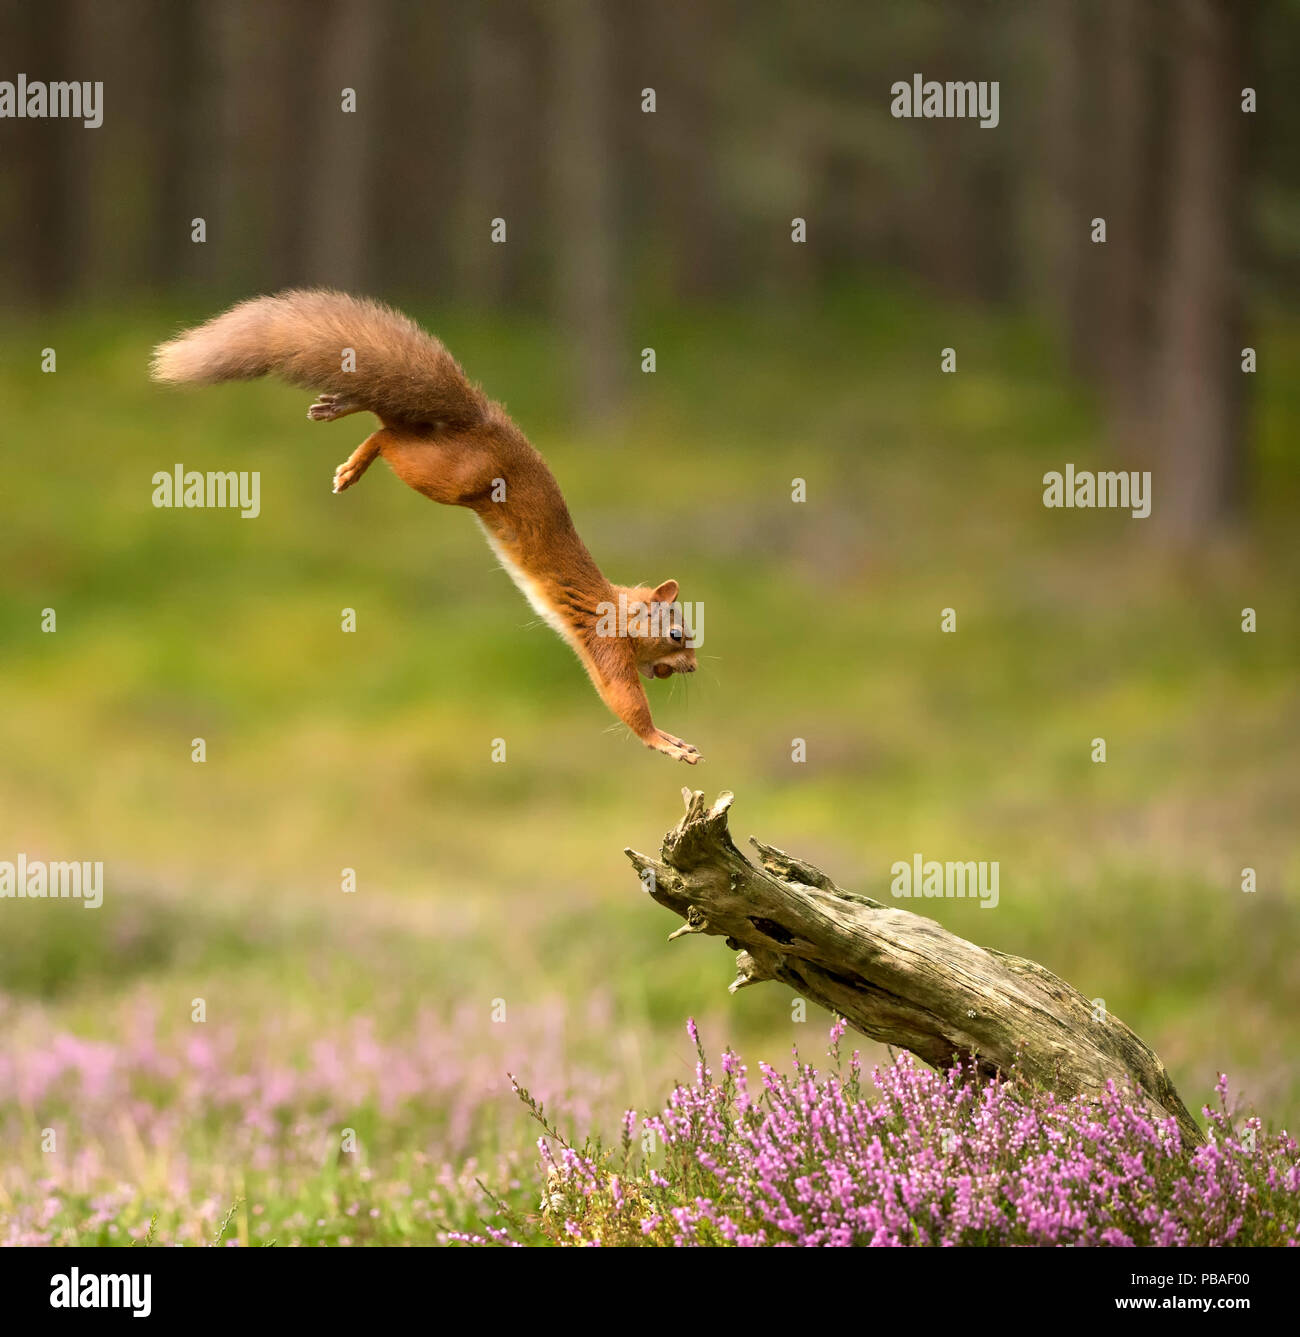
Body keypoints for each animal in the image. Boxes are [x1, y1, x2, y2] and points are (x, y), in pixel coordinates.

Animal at [150, 290, 701, 764]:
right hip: (449, 476)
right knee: (390, 436)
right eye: (677, 635)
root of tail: (482, 419)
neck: (619, 609)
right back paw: (355, 448)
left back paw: (342, 409)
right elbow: (624, 701)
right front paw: (665, 741)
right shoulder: (604, 646)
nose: (694, 668)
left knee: (395, 420)